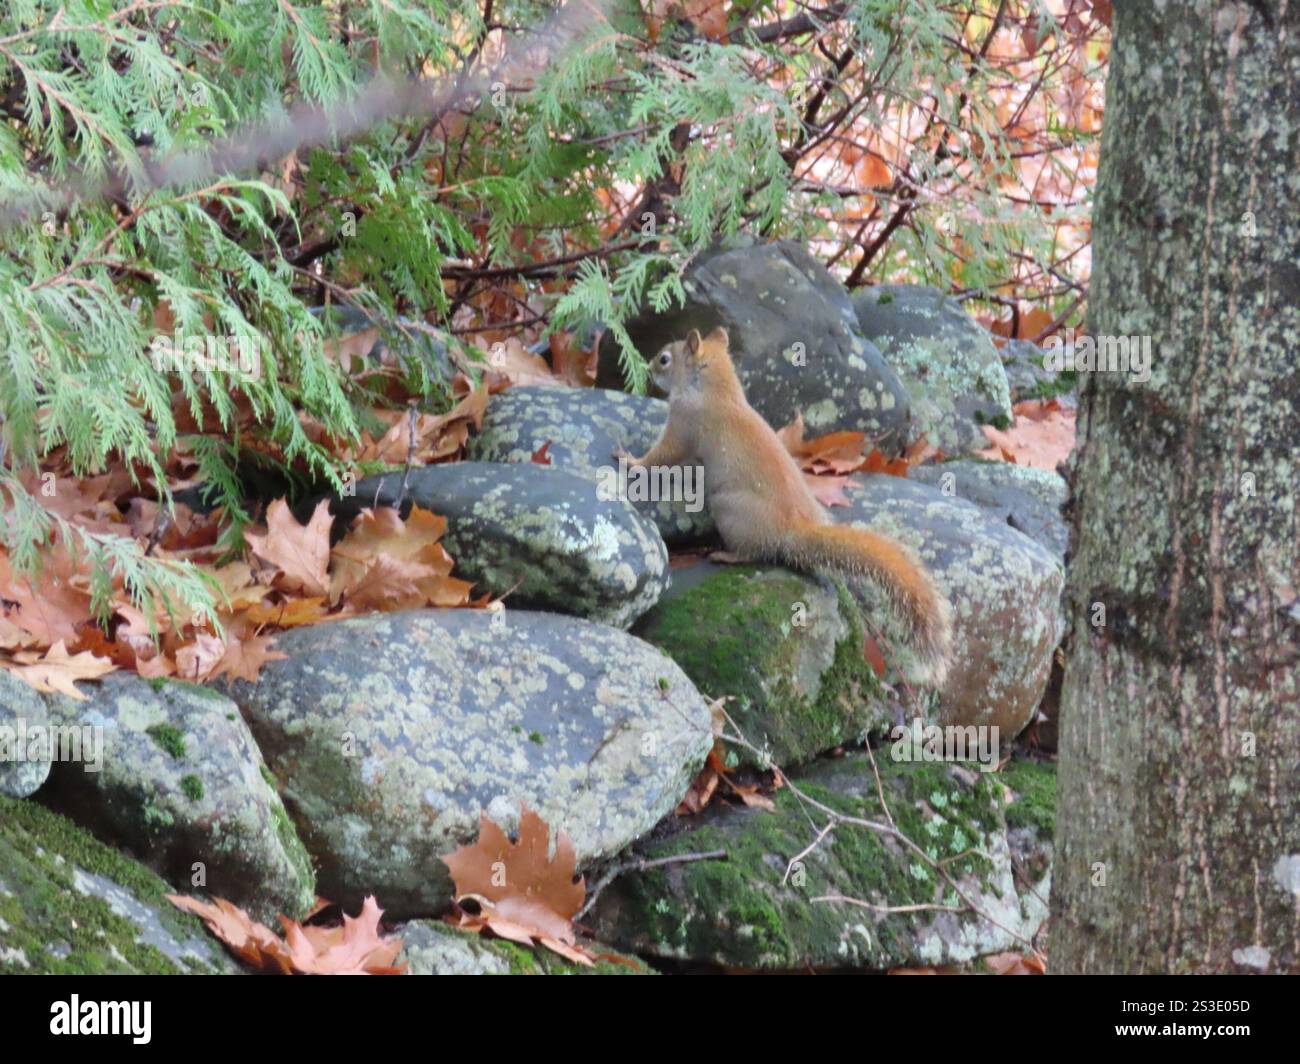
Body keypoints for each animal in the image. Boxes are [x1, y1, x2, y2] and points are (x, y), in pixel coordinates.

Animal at [618, 326, 953, 686]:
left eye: (666, 359)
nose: (649, 367)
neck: (717, 389)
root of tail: (794, 530)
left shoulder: (684, 425)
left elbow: (662, 455)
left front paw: (631, 460)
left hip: (729, 511)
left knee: (755, 552)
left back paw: (725, 554)